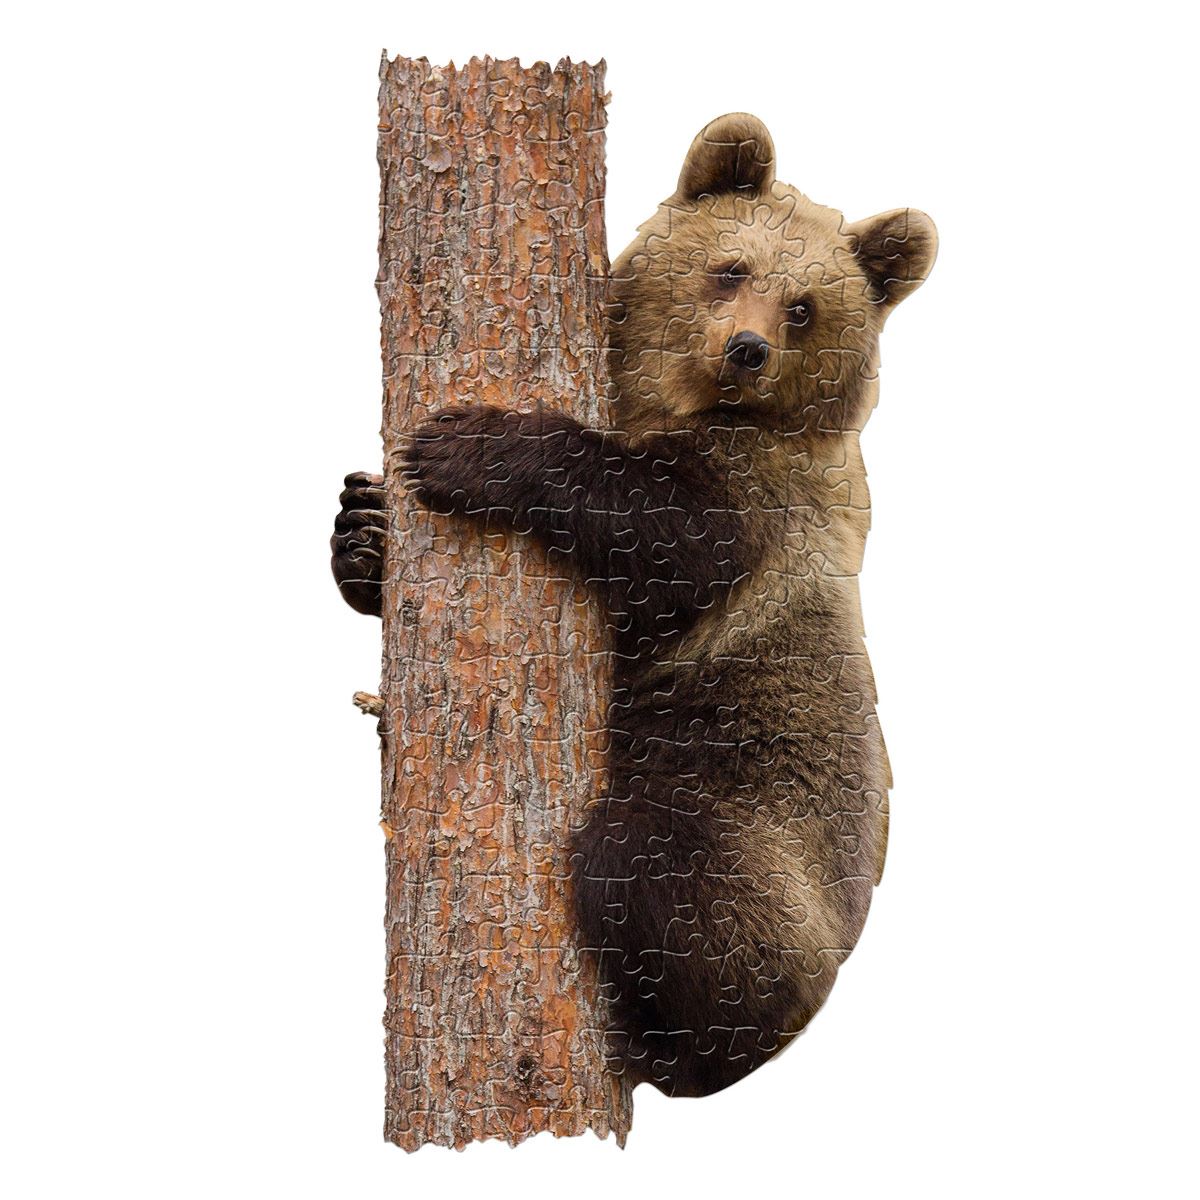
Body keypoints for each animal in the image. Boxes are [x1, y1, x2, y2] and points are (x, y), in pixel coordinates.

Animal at [331, 113, 937, 1097]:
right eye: (730, 268)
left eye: (804, 306)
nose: (745, 350)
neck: (673, 403)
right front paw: (363, 529)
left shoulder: (759, 501)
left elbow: (655, 532)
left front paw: (468, 447)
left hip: (753, 827)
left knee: (653, 866)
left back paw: (672, 1041)